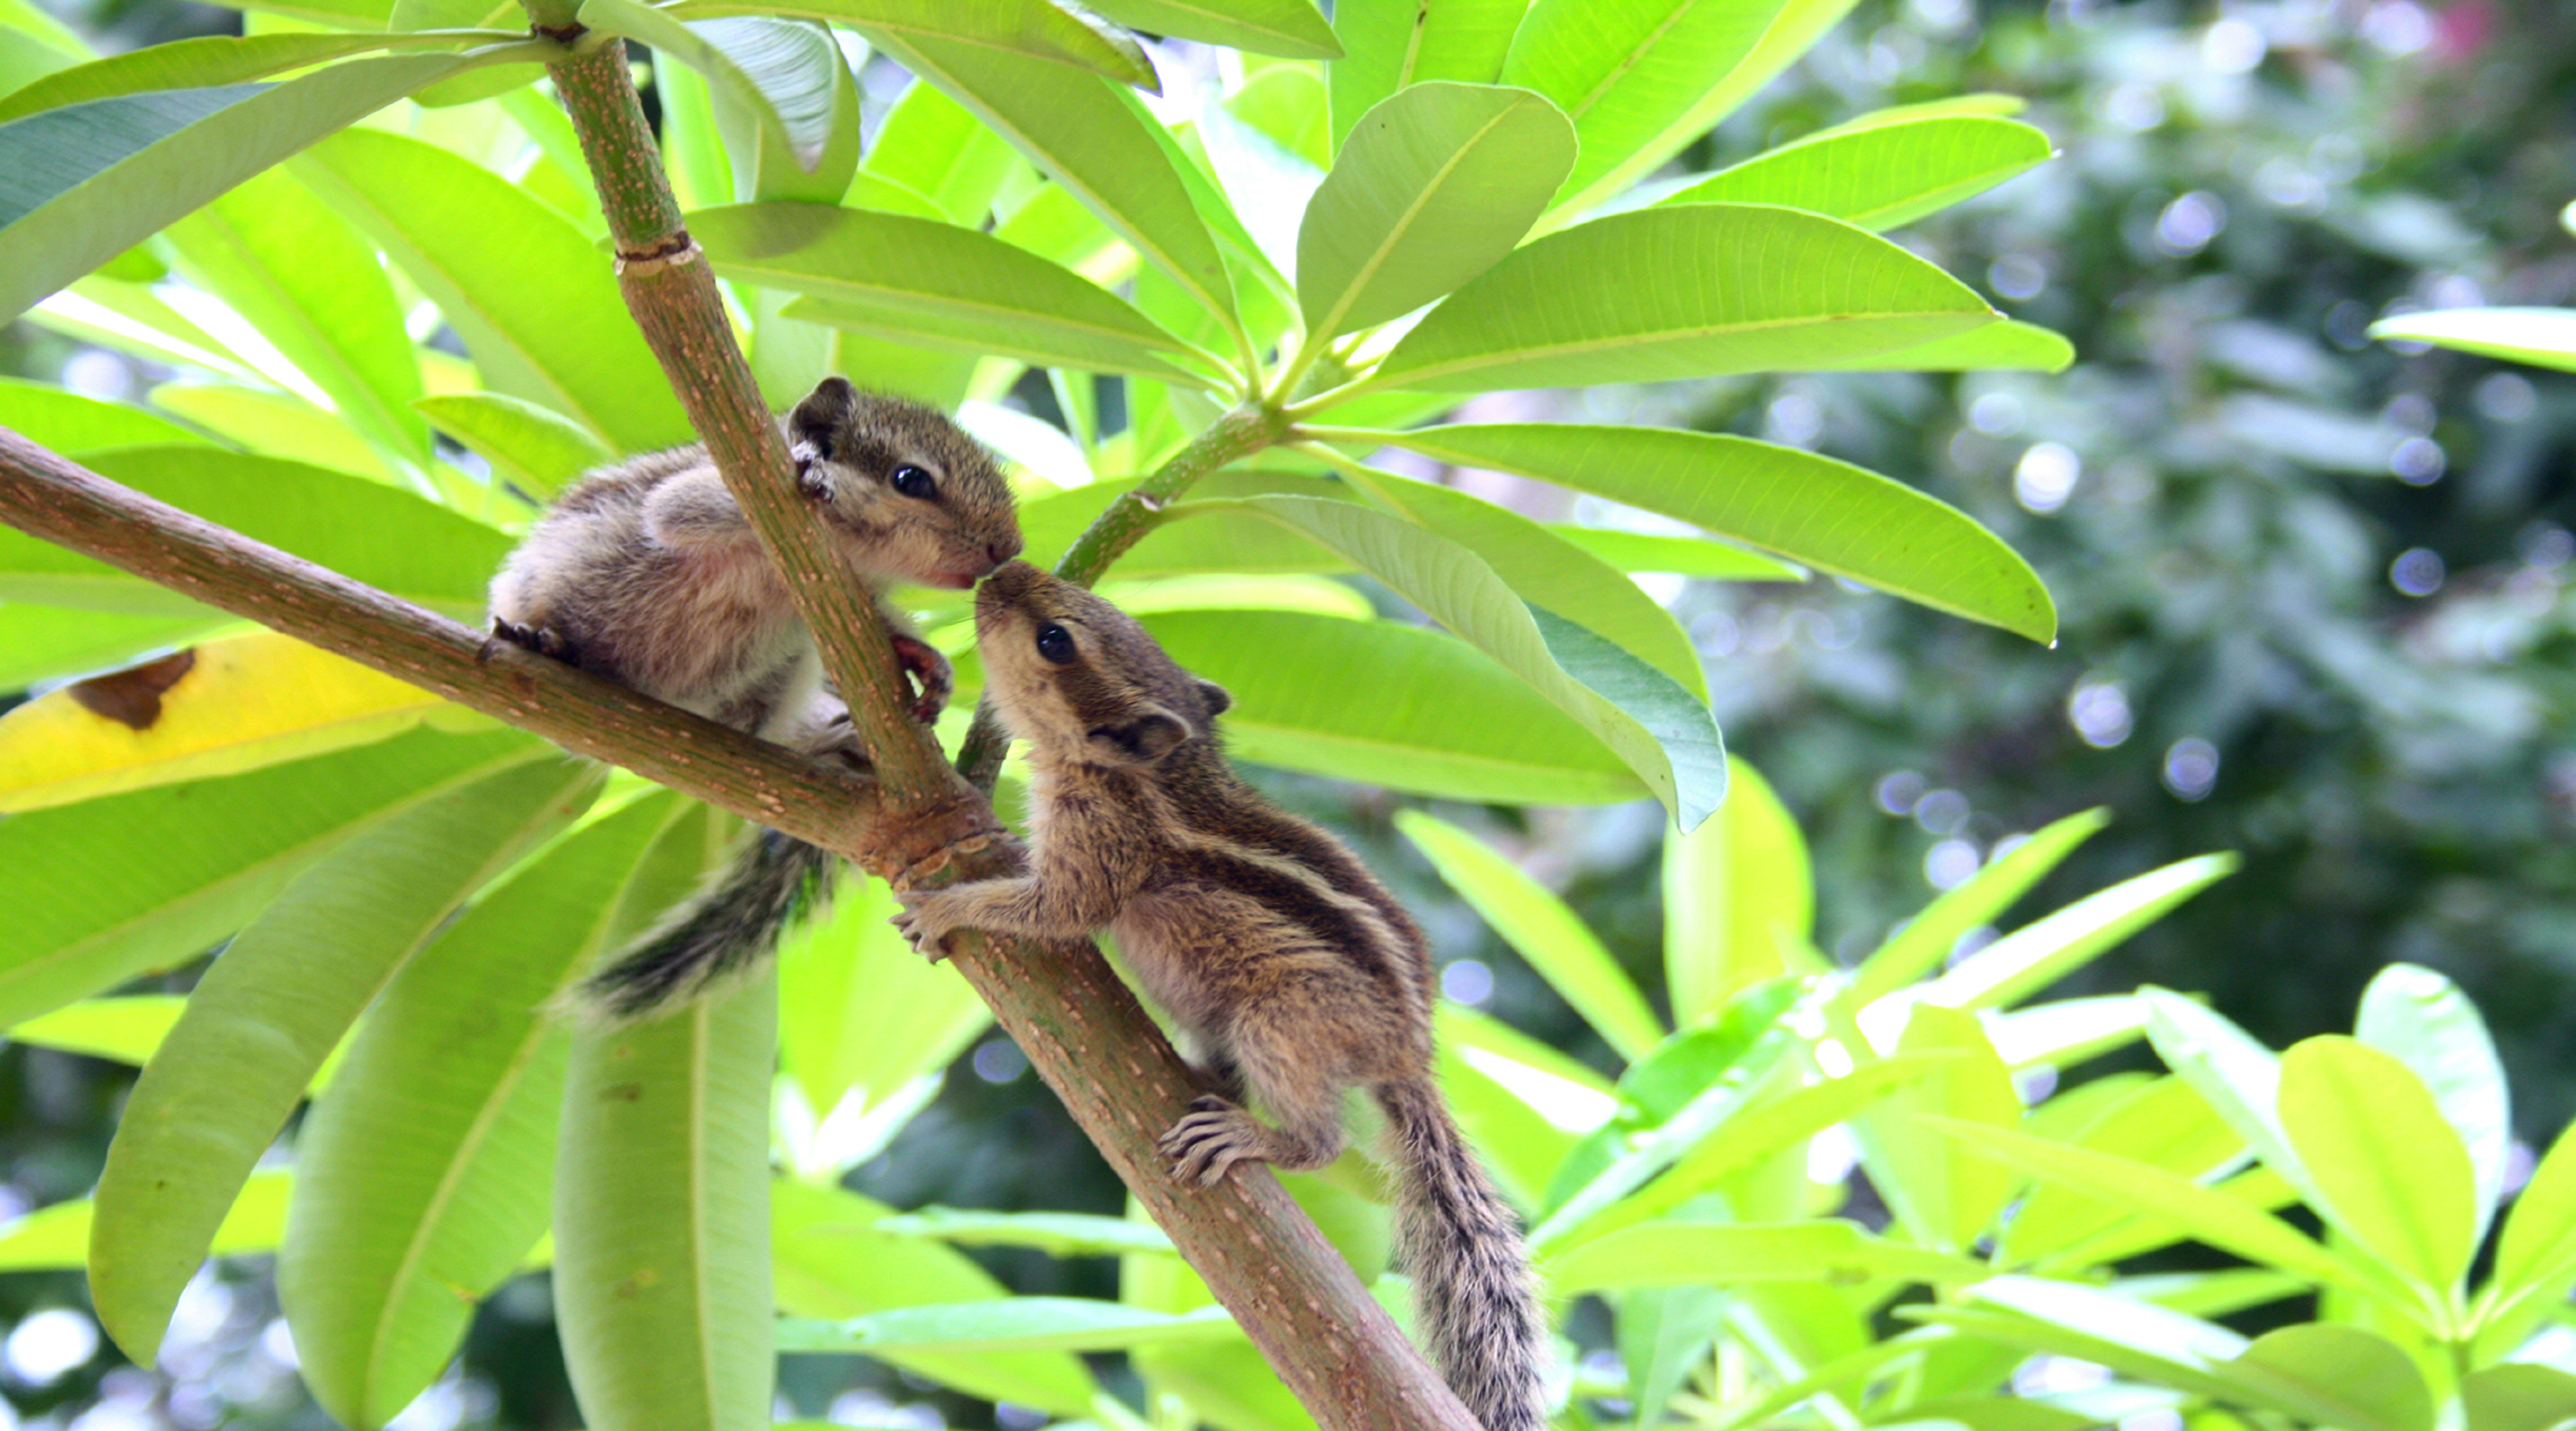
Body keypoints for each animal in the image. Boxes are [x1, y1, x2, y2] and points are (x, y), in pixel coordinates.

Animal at [486, 376, 1023, 1022]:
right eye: (911, 480)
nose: (1008, 548)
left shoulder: (844, 598)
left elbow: (882, 623)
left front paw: (926, 660)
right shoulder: (701, 493)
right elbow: (678, 510)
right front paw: (817, 474)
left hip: (785, 668)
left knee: (761, 725)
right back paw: (544, 640)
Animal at [892, 561, 1546, 1431]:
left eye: (1055, 638)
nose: (1004, 571)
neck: (1157, 773)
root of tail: (1410, 1057)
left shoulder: (1101, 851)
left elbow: (1050, 910)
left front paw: (944, 908)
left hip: (1283, 1019)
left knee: (1320, 1140)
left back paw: (1254, 1134)